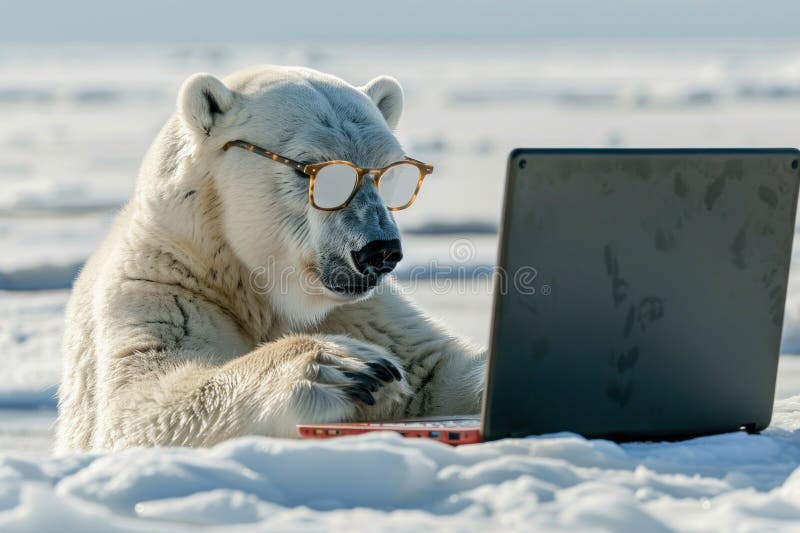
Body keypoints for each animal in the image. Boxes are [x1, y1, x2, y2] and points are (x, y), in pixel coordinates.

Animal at [55, 65, 487, 452]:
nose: (380, 250)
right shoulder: (163, 287)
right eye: (315, 170)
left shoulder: (367, 312)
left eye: (388, 172)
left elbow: (437, 371)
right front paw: (344, 368)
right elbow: (139, 409)